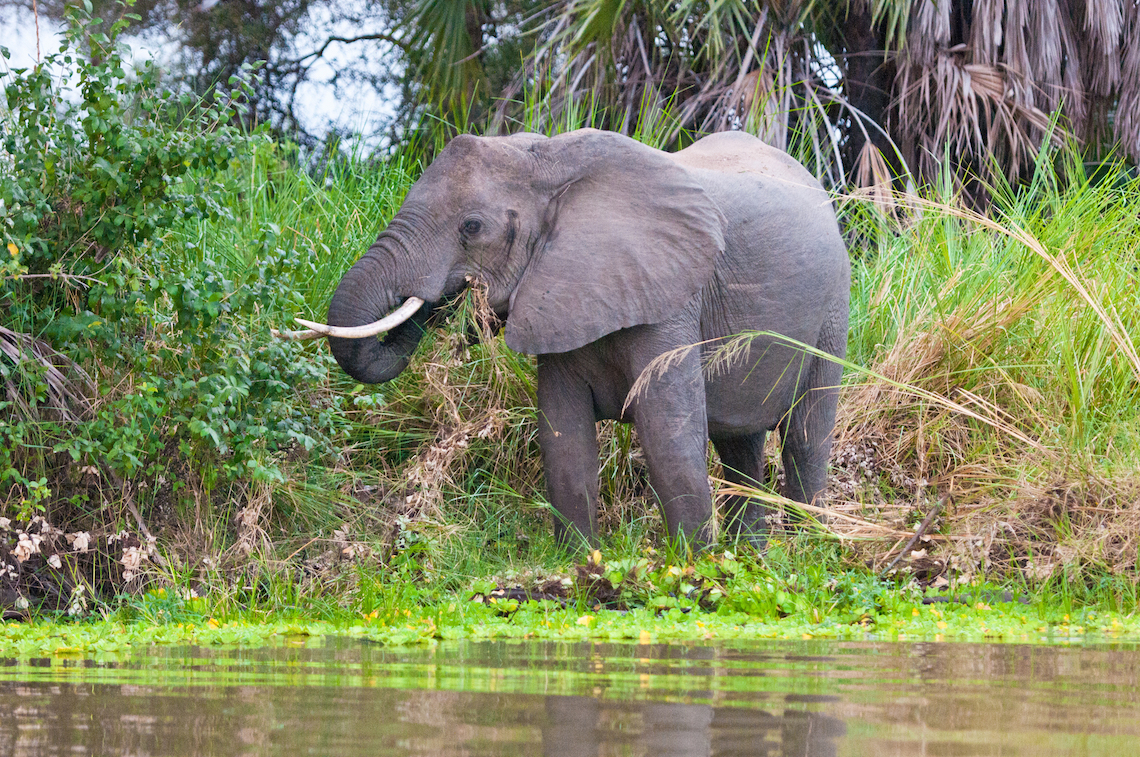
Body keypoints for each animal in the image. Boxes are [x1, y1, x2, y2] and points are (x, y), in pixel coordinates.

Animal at [306, 128, 850, 549]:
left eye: (472, 226)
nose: (442, 301)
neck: (546, 160)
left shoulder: (671, 299)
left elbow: (668, 437)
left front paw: (692, 567)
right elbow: (563, 440)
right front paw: (580, 565)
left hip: (833, 313)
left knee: (804, 438)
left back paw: (804, 551)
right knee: (739, 447)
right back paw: (752, 557)